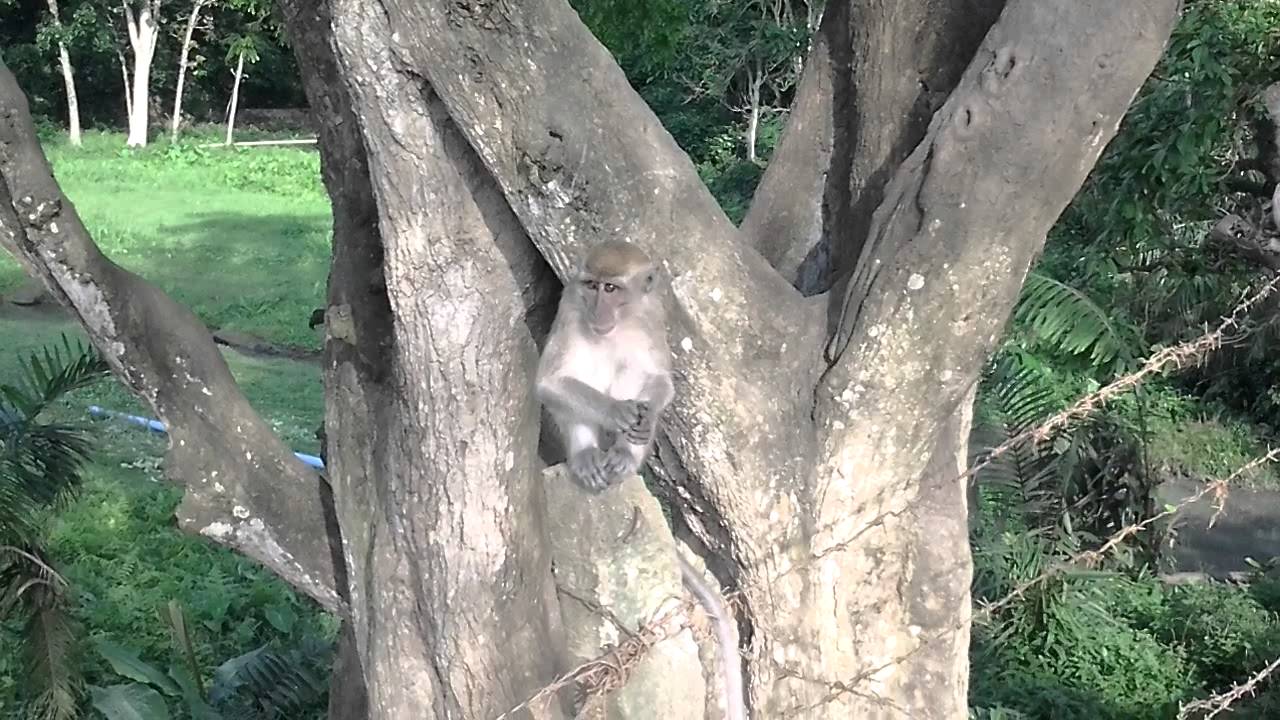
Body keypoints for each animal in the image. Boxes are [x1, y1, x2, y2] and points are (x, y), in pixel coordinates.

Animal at [535, 240, 748, 719]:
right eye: (592, 285)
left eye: (612, 289)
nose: (598, 308)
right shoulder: (570, 308)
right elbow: (549, 382)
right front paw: (616, 411)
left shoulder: (654, 318)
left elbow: (661, 382)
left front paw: (643, 416)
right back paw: (587, 456)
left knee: (635, 376)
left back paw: (624, 456)